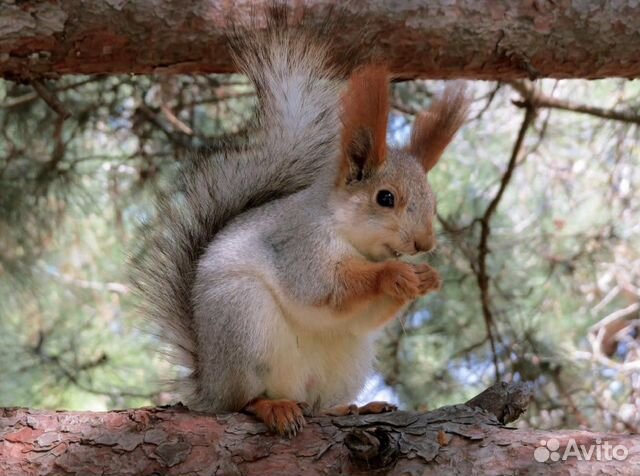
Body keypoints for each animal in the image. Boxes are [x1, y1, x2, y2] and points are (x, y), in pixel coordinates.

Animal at [134, 10, 470, 437]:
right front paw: (393, 274)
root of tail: (209, 384)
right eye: (386, 198)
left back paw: (349, 408)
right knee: (244, 401)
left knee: (317, 402)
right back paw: (272, 407)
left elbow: (364, 314)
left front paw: (426, 277)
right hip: (242, 320)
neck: (348, 234)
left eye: (434, 201)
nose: (425, 244)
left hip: (347, 357)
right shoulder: (298, 244)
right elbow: (327, 287)